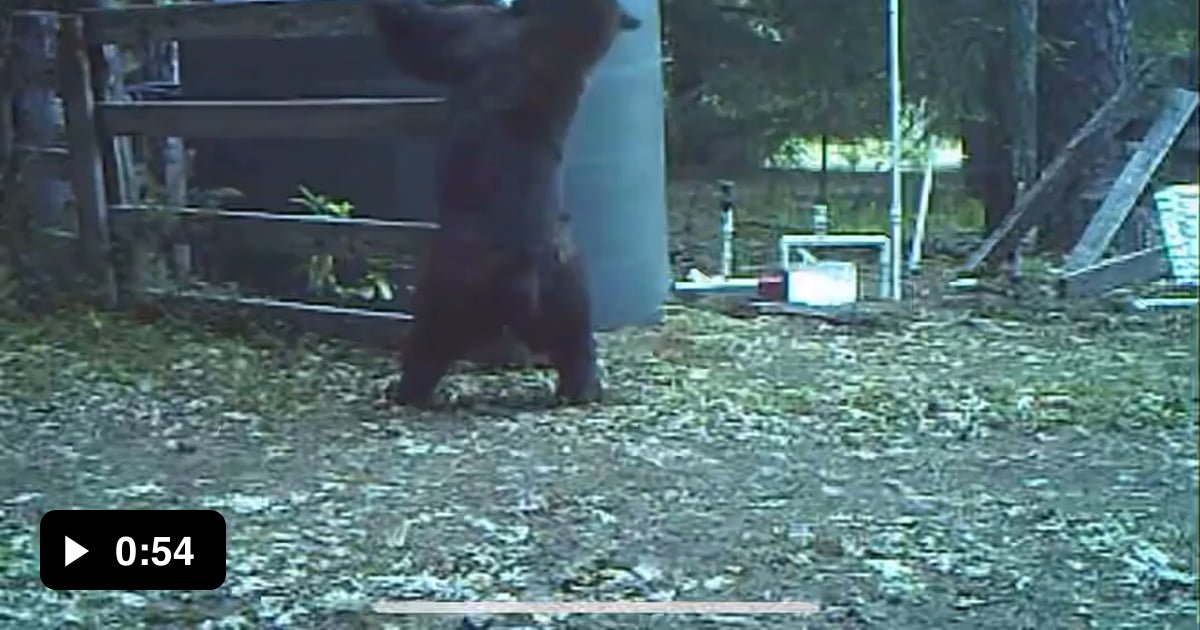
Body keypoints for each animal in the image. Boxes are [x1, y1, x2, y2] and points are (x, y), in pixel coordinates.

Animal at [366, 0, 642, 407]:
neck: (559, 35)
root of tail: (522, 275)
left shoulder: (474, 31)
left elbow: (413, 33)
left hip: (446, 293)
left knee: (427, 347)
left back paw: (404, 392)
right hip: (567, 292)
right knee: (576, 346)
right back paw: (582, 389)